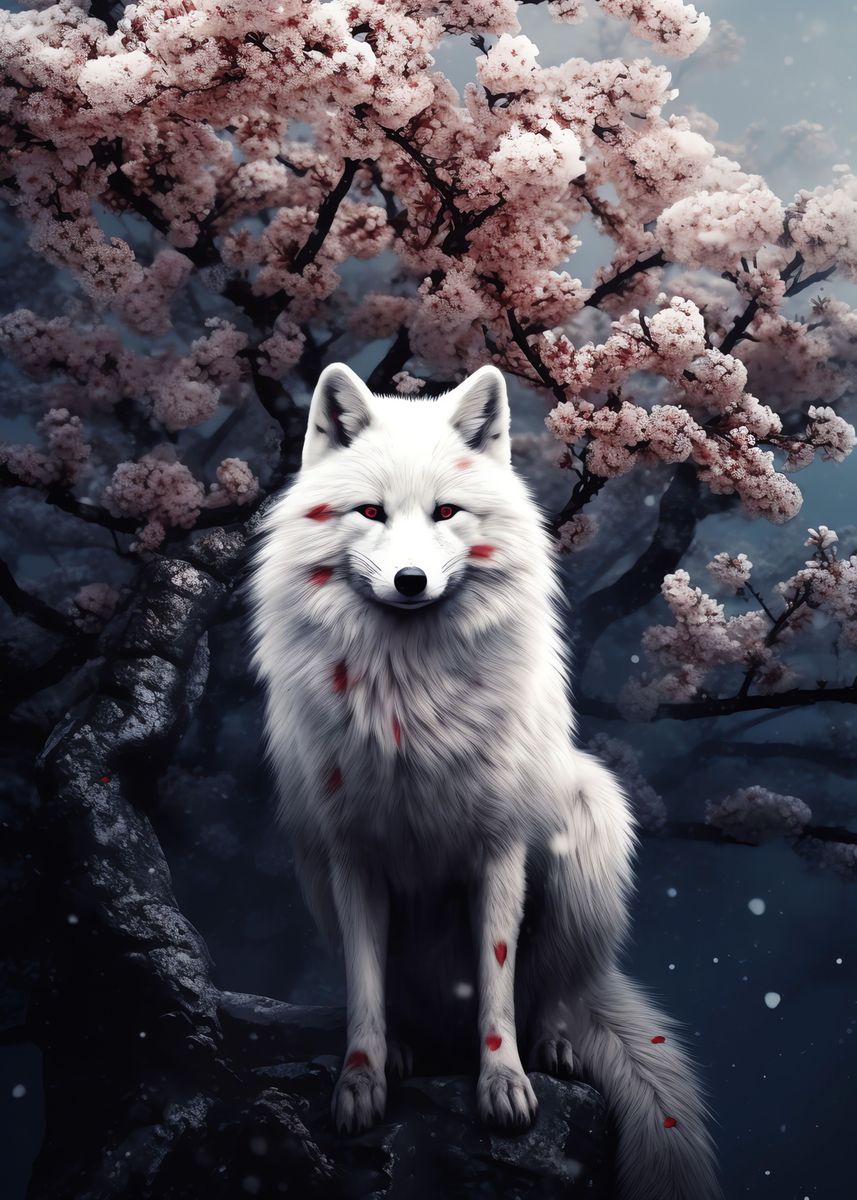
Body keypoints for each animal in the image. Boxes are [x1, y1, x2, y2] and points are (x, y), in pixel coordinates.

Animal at [248, 362, 721, 1200]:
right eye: (370, 512)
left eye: (446, 512)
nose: (409, 581)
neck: (407, 701)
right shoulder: (350, 857)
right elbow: (364, 988)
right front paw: (360, 1084)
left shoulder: (498, 853)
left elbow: (495, 990)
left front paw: (503, 1088)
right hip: (310, 866)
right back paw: (409, 1049)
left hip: (587, 830)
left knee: (557, 991)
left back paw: (557, 1044)